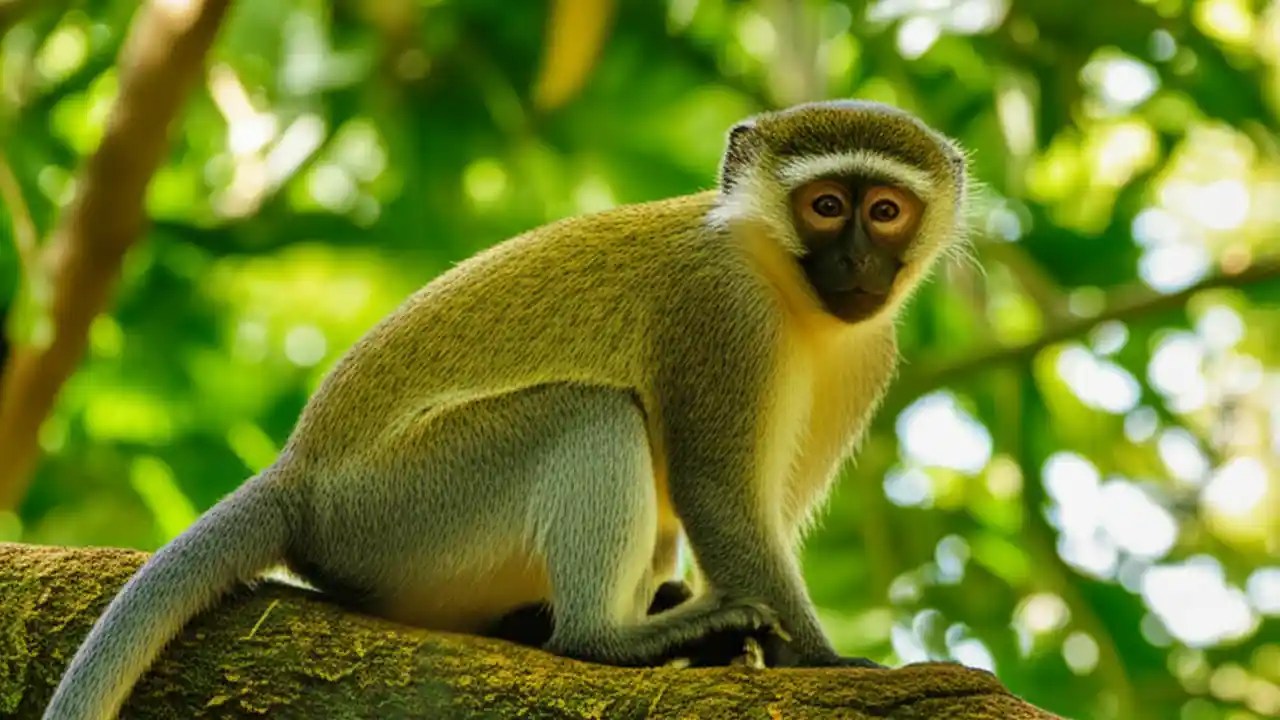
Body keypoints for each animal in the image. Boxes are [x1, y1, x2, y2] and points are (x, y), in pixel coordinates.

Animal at [43, 99, 970, 719]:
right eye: (826, 206)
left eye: (886, 212)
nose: (856, 263)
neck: (783, 284)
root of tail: (298, 476)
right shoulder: (722, 314)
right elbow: (721, 500)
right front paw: (829, 664)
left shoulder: (869, 354)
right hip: (404, 506)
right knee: (592, 415)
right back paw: (609, 638)